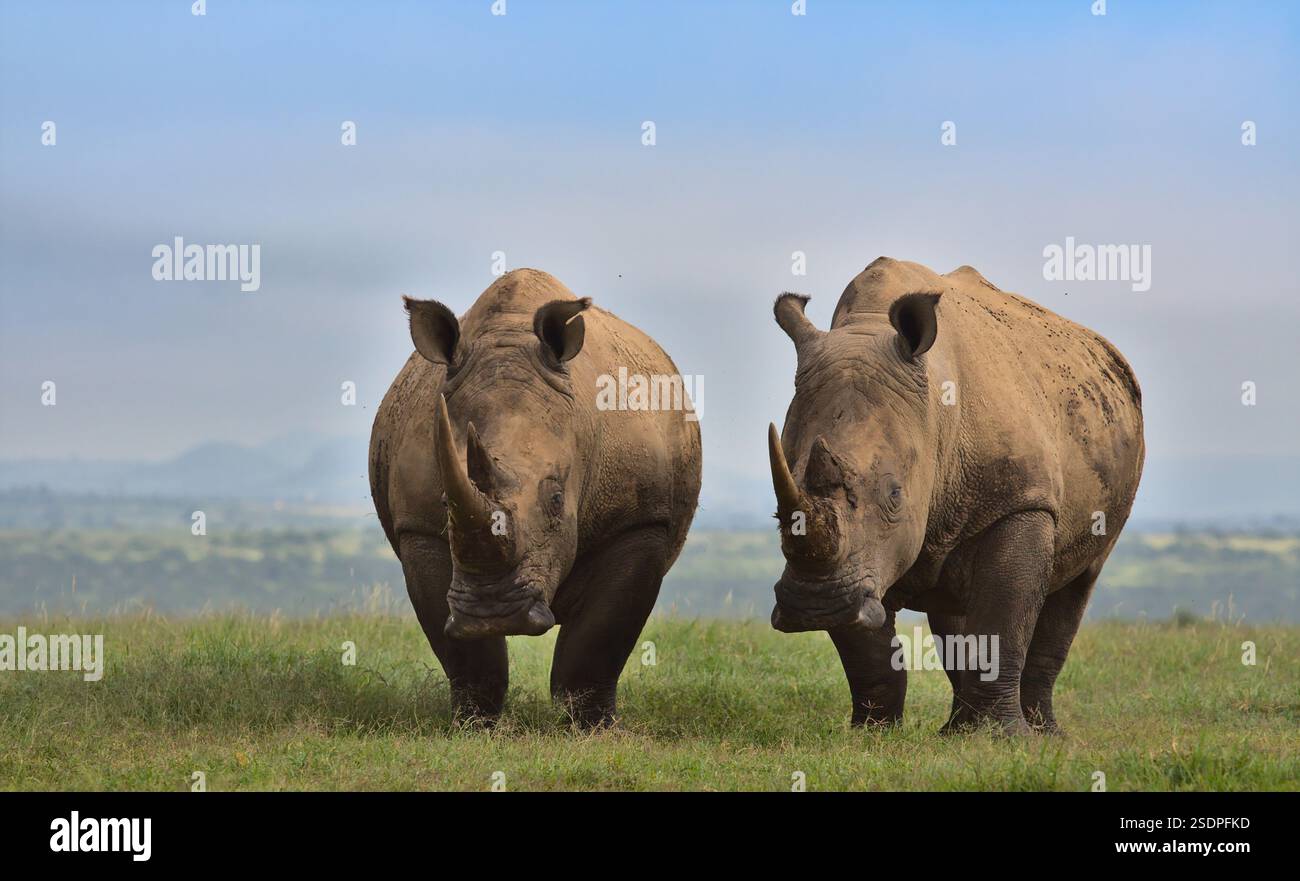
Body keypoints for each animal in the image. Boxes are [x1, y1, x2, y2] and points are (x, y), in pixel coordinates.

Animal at [370, 269, 701, 726]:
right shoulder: (418, 528)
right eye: (443, 504)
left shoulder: (639, 520)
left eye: (558, 499)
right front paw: (474, 726)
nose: (493, 612)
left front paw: (592, 728)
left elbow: (598, 639)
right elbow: (463, 650)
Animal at [767, 257, 1144, 734]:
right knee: (952, 606)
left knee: (1078, 584)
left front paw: (1004, 740)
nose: (815, 606)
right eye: (779, 515)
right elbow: (866, 644)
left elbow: (1003, 618)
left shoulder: (1021, 502)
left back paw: (1043, 735)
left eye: (895, 495)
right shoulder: (861, 561)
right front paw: (871, 734)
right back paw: (958, 732)